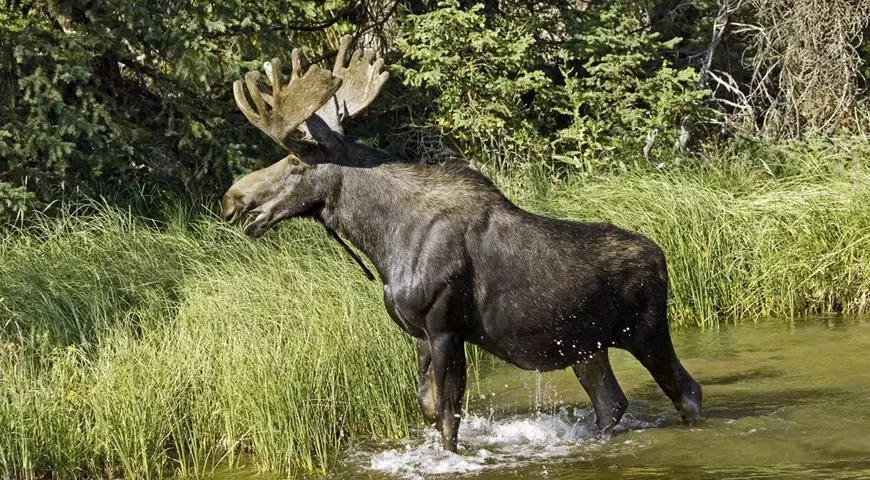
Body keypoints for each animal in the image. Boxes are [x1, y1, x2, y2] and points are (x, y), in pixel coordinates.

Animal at [221, 35, 704, 452]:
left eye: (295, 162)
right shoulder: (419, 333)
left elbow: (449, 419)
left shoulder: (446, 328)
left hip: (645, 330)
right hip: (586, 345)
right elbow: (429, 408)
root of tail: (662, 257)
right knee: (611, 403)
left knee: (687, 390)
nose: (232, 199)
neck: (383, 243)